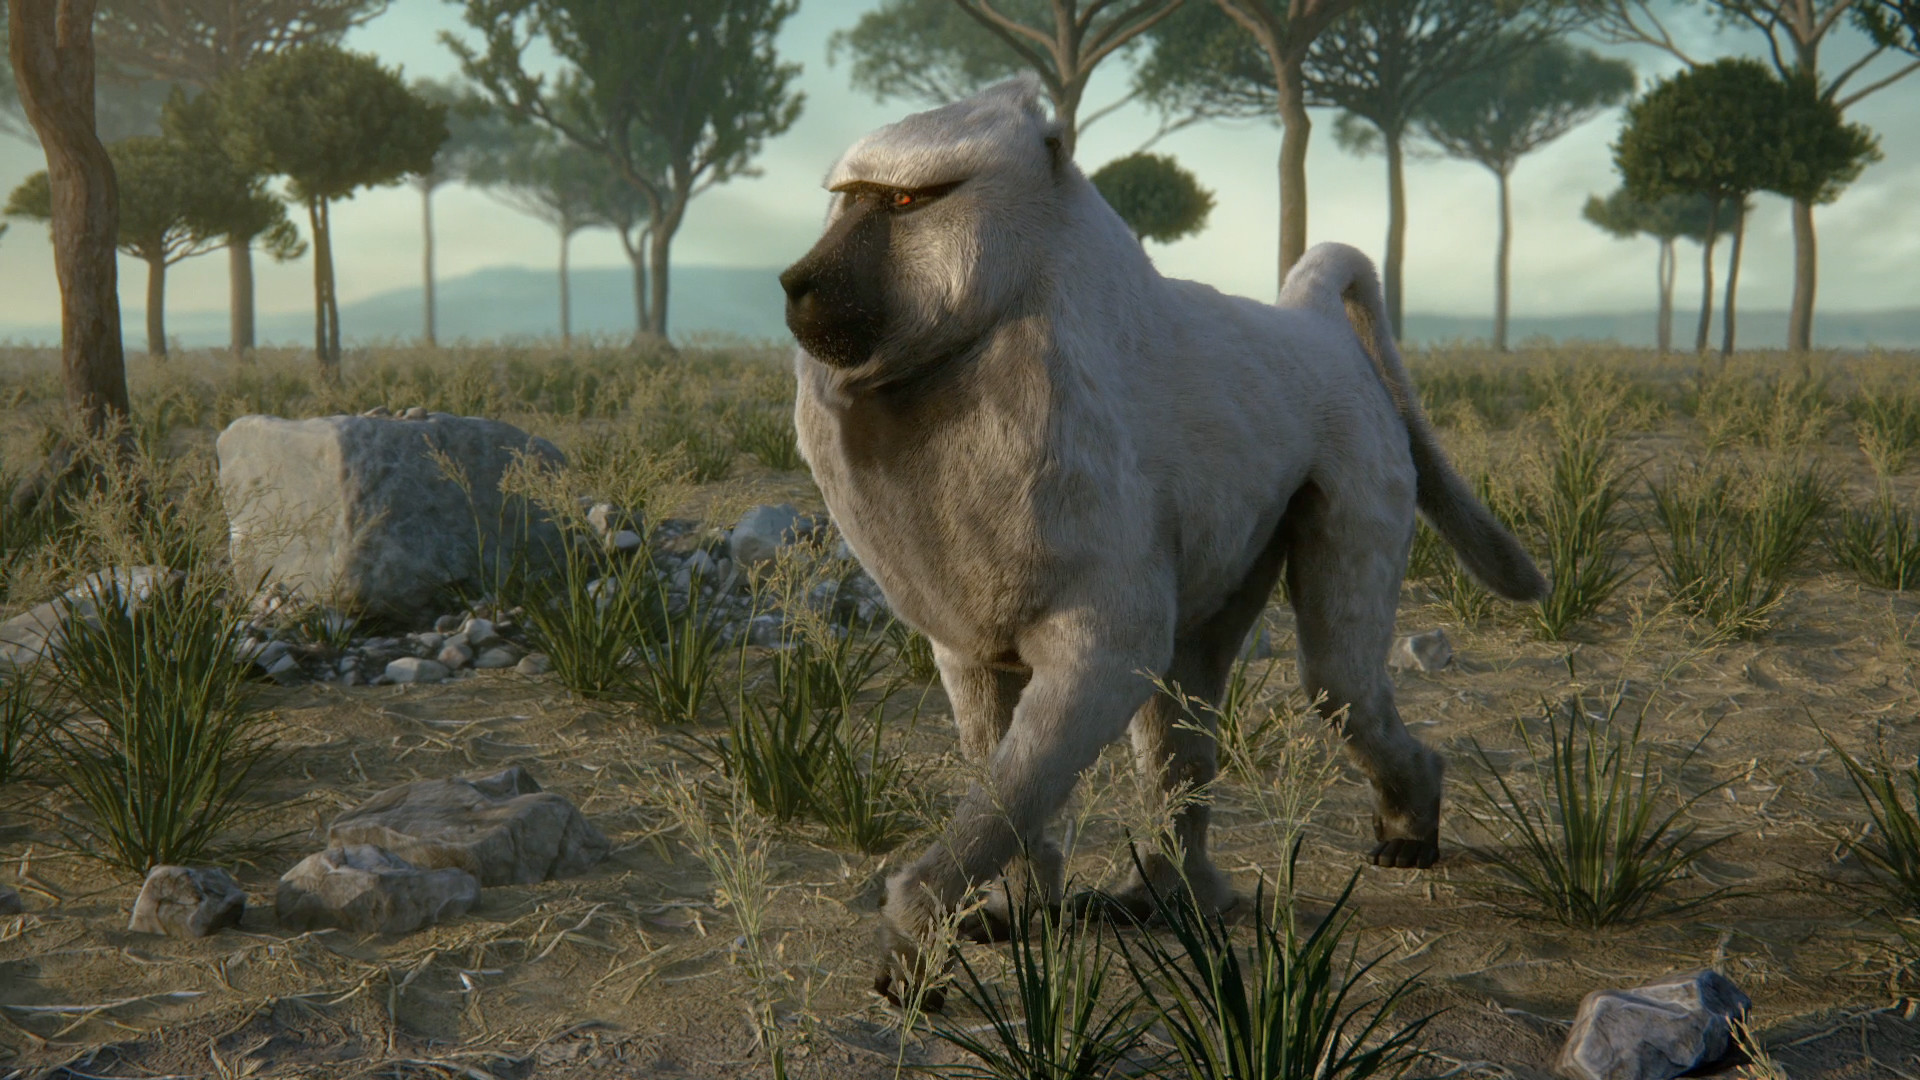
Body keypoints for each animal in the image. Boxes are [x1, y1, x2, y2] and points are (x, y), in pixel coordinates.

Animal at [778, 74, 1547, 1003]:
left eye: (901, 202)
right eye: (848, 199)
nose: (797, 282)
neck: (991, 333)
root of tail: (1312, 327)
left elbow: (1099, 676)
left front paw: (912, 931)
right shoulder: (969, 635)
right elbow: (993, 724)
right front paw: (1019, 906)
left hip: (1362, 470)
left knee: (1339, 684)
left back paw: (1408, 820)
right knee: (1191, 693)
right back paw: (1178, 894)